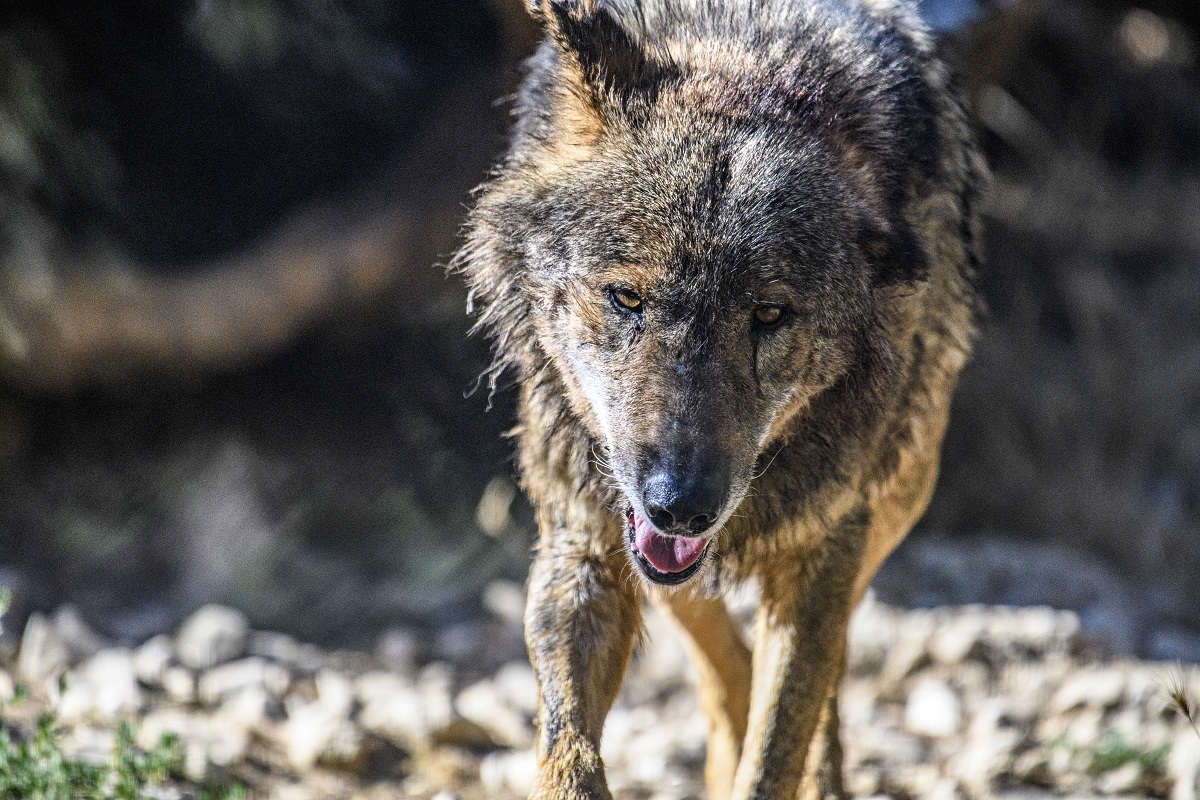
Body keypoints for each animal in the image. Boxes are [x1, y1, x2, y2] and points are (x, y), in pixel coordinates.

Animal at [455, 0, 985, 797]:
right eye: (627, 297)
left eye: (769, 315)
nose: (680, 504)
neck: (745, 70)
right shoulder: (582, 543)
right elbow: (566, 748)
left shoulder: (825, 547)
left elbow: (777, 747)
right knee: (719, 655)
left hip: (889, 503)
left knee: (818, 676)